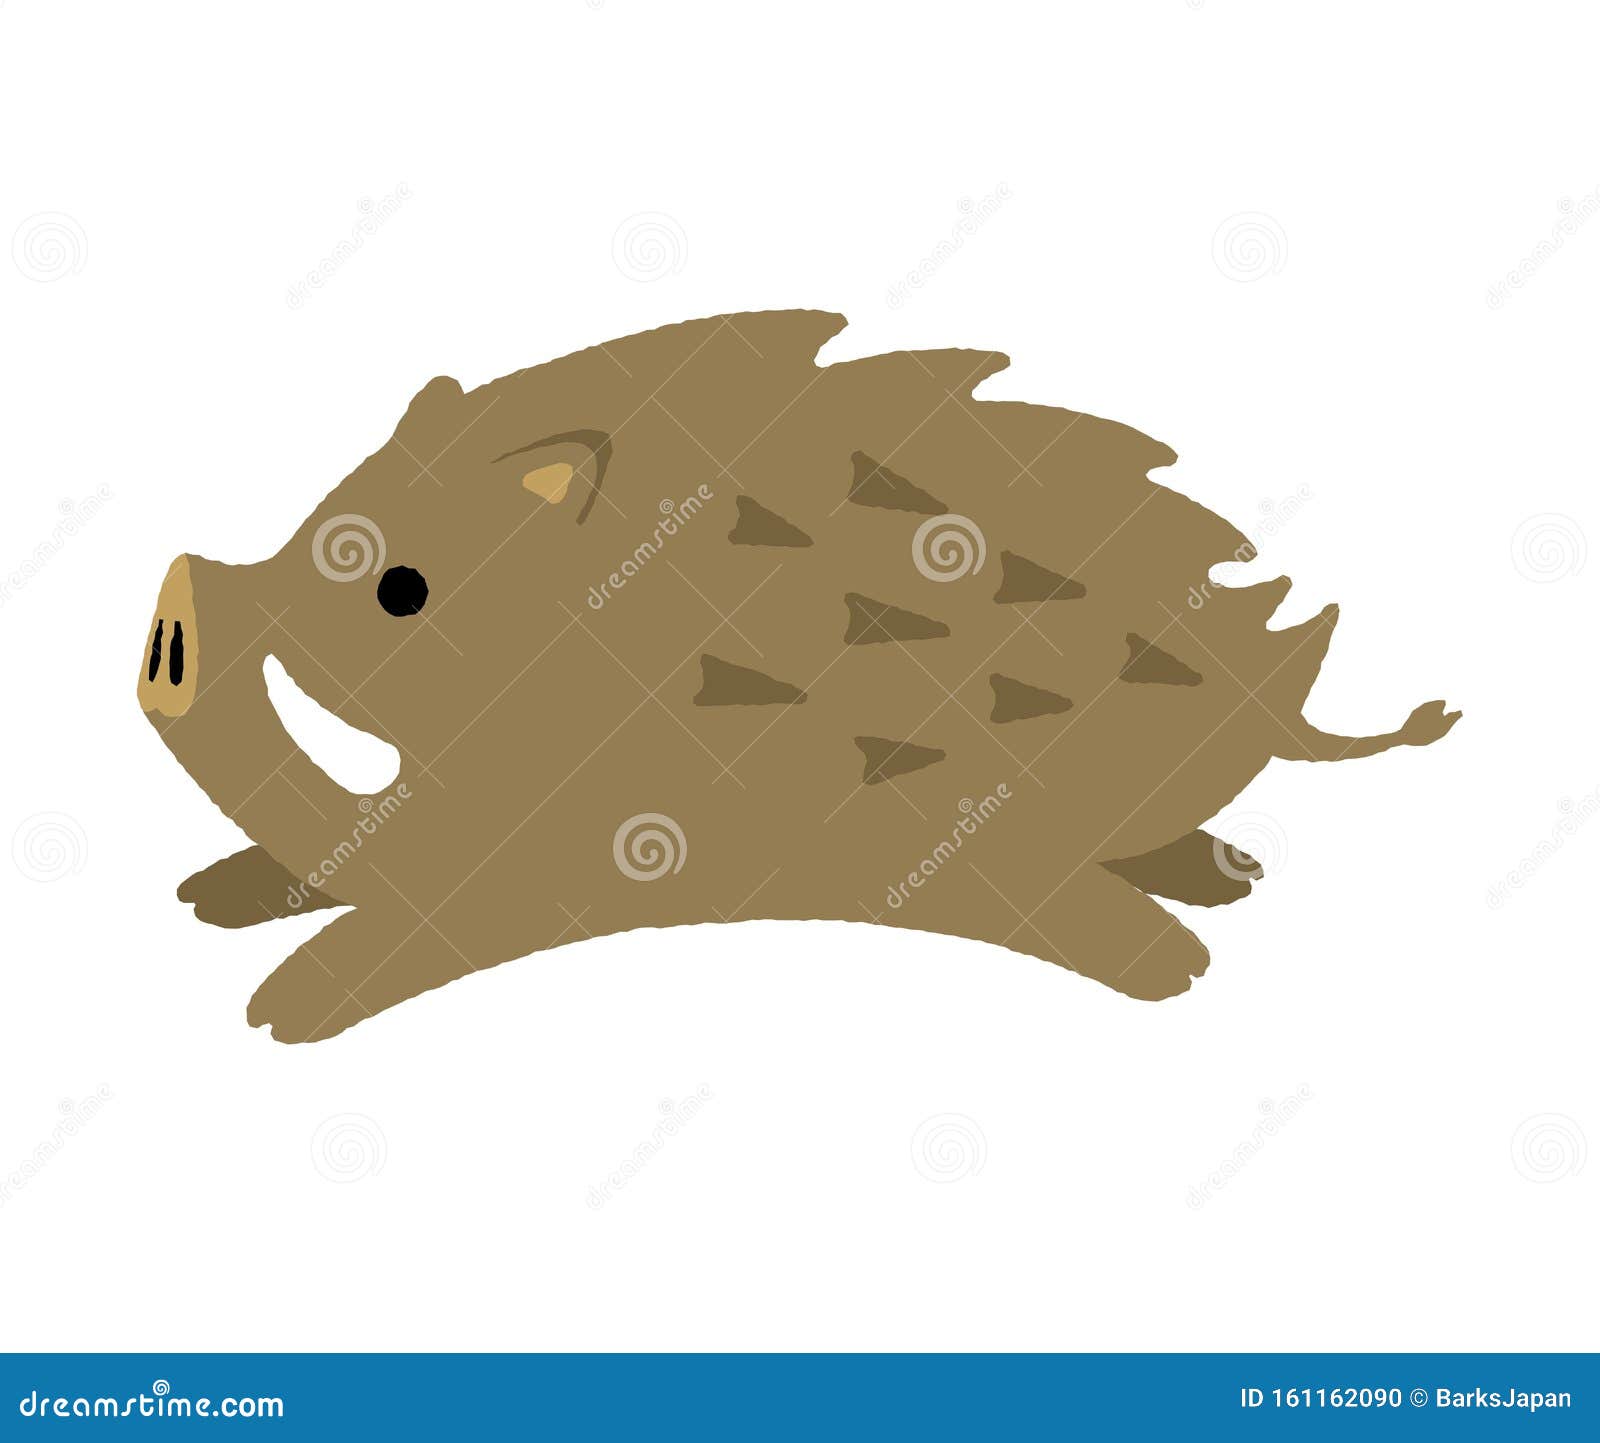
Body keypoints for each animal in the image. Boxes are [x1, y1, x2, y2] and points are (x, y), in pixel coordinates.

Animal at [139, 310, 1460, 1042]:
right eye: (314, 535)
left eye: (399, 589)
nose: (184, 603)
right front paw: (213, 901)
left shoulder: (584, 838)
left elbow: (440, 910)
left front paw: (279, 1015)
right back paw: (1222, 882)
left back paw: (1177, 956)